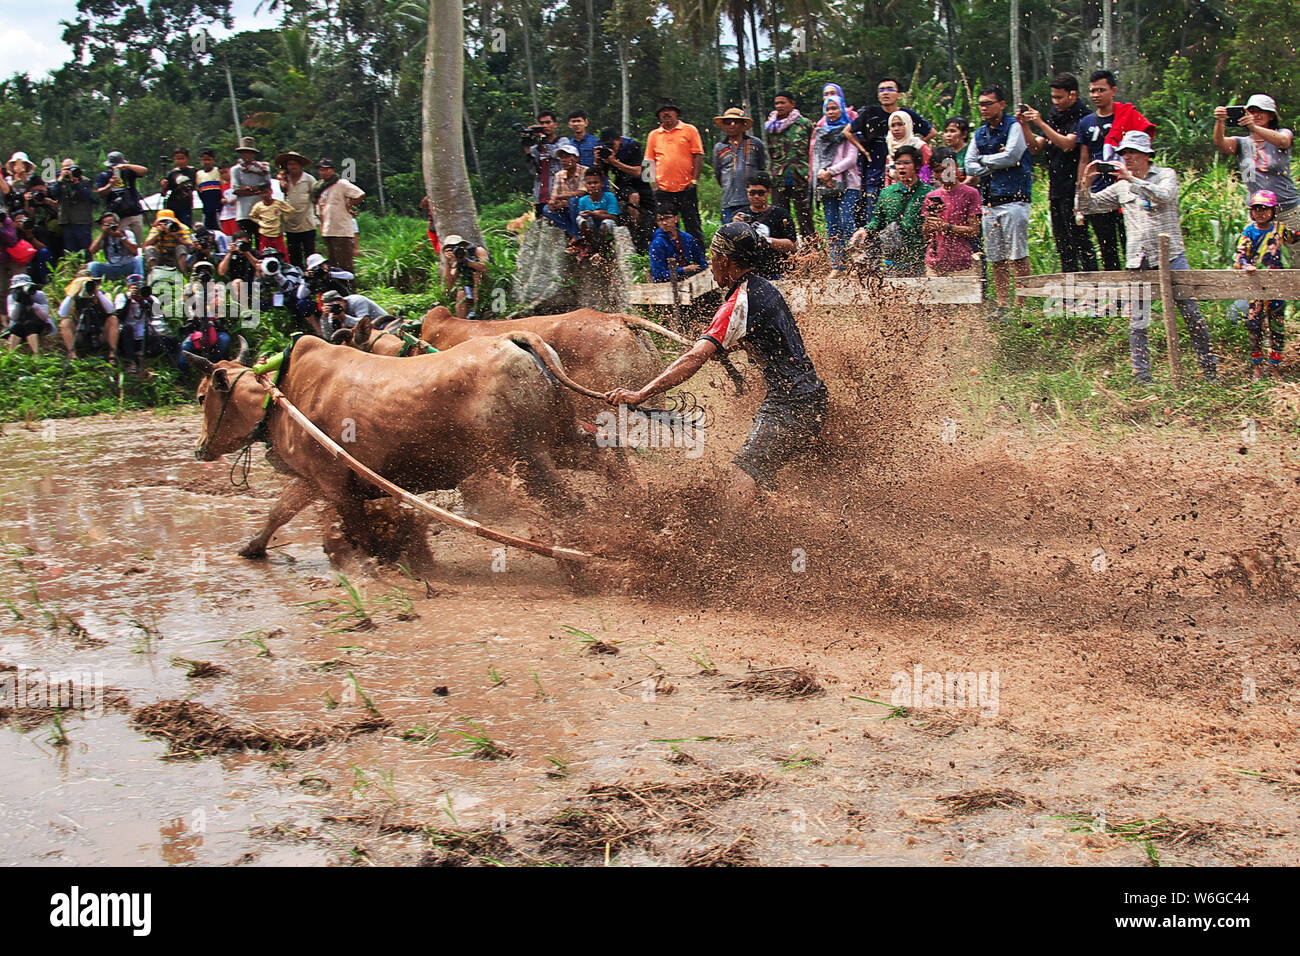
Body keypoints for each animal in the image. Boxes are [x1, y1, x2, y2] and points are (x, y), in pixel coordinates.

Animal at [191, 331, 591, 565]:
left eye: (201, 397)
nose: (199, 449)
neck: (280, 394)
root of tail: (515, 339)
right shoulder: (315, 479)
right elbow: (279, 512)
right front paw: (252, 547)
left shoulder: (336, 485)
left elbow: (362, 536)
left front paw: (373, 565)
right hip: (565, 439)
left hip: (529, 460)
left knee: (572, 503)